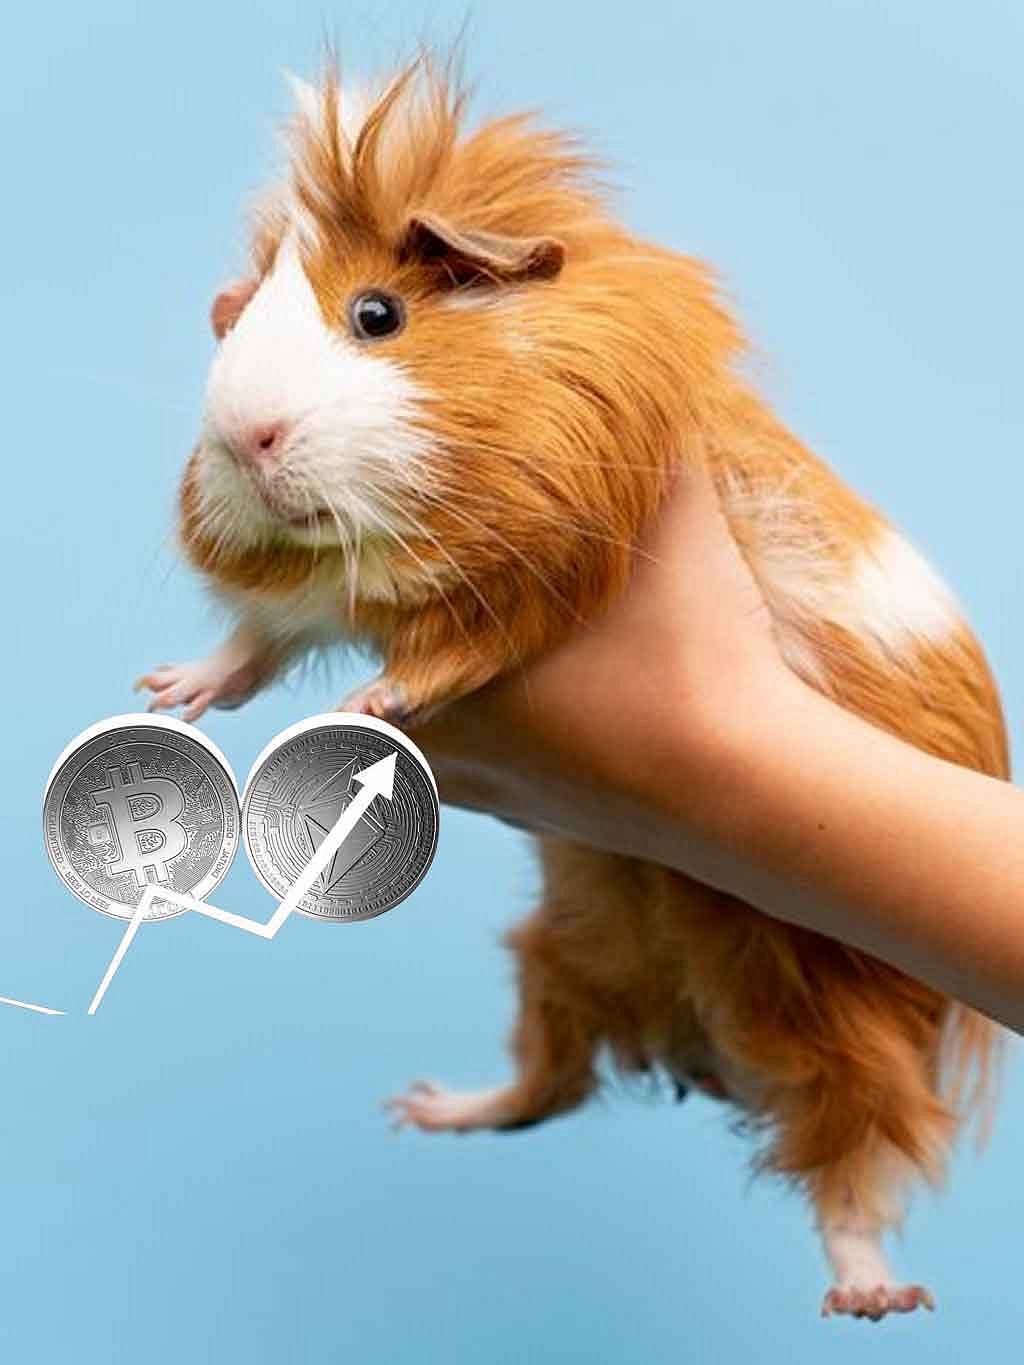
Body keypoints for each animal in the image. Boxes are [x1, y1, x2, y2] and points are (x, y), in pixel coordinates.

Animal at [135, 51, 1008, 1322]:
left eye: (378, 315)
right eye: (242, 320)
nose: (248, 438)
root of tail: (689, 1045)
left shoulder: (525, 590)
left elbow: (433, 654)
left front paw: (363, 710)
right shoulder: (306, 600)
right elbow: (257, 639)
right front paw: (173, 694)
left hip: (840, 1029)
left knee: (851, 1171)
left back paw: (871, 1300)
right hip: (557, 959)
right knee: (542, 1095)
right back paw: (427, 1110)